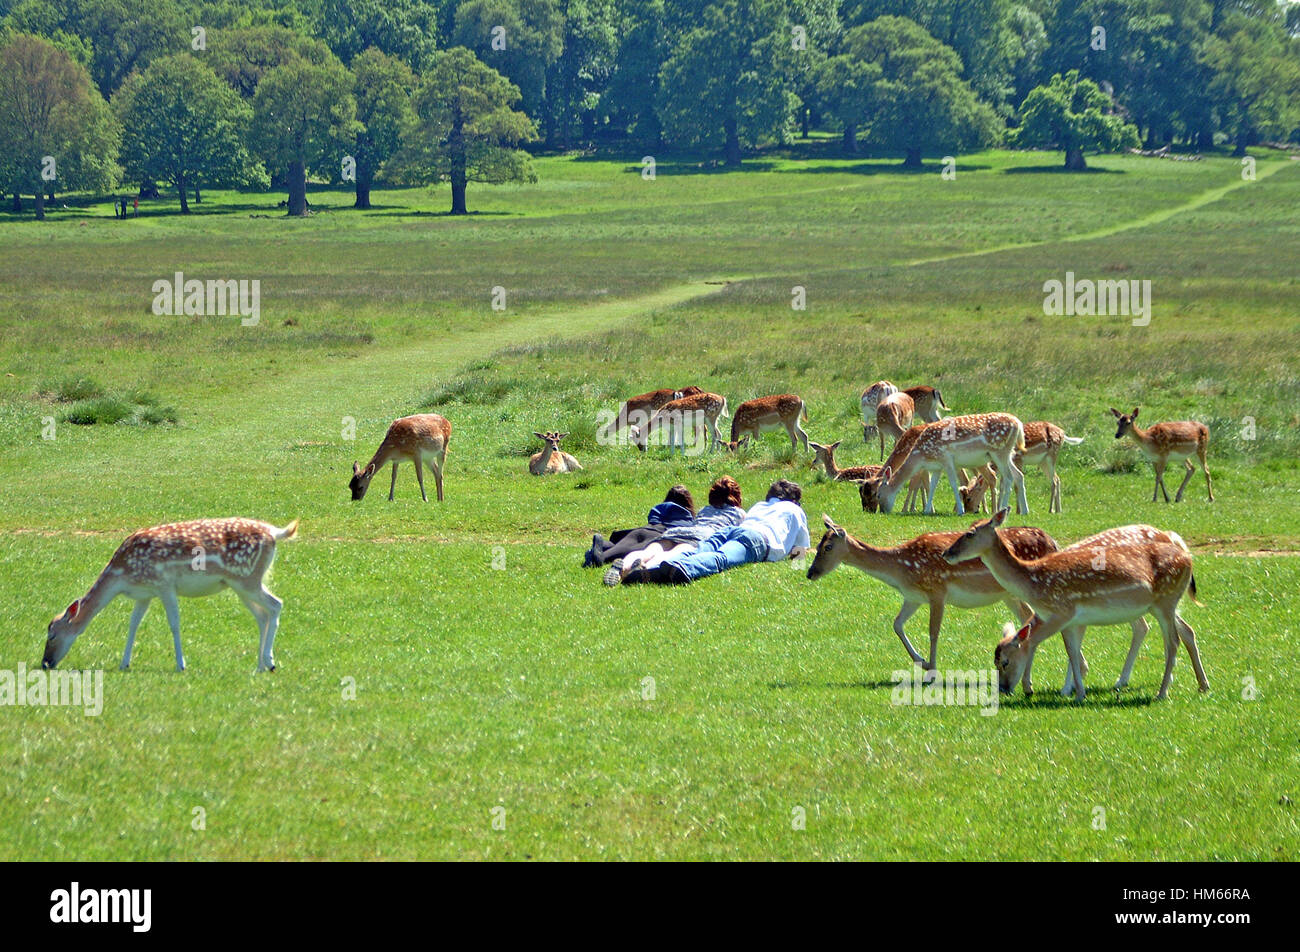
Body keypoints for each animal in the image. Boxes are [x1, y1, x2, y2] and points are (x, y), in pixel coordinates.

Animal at [43, 517, 298, 673]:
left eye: (52, 635)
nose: (45, 663)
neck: (122, 574)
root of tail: (275, 533)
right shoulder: (144, 594)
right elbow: (133, 624)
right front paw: (124, 663)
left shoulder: (164, 584)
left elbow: (174, 623)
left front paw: (181, 664)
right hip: (240, 583)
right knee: (262, 615)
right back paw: (260, 665)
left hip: (248, 579)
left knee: (276, 604)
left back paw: (270, 662)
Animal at [858, 413, 1030, 516]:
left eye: (878, 494)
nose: (881, 511)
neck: (919, 454)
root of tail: (1018, 424)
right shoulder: (936, 466)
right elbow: (932, 485)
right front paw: (927, 510)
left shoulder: (946, 459)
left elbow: (952, 484)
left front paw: (959, 510)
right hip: (1006, 454)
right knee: (1018, 475)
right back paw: (1024, 511)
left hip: (999, 452)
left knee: (1006, 478)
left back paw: (1001, 509)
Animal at [941, 510, 1209, 701]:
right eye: (994, 662)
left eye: (970, 533)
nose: (947, 553)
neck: (1034, 580)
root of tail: (1187, 556)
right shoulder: (1073, 620)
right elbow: (1070, 649)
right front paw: (1077, 693)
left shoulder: (1062, 611)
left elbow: (1036, 642)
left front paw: (1032, 687)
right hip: (1161, 605)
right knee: (1182, 631)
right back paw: (1200, 684)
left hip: (1166, 601)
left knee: (1171, 641)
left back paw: (1161, 692)